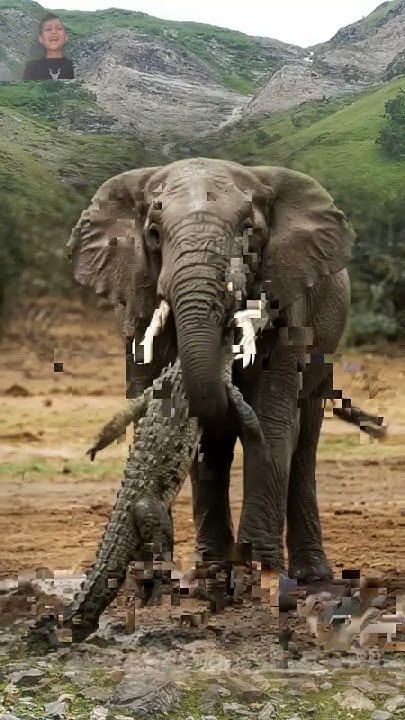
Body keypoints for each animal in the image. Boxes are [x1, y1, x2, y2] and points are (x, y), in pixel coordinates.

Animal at [66, 157, 358, 584]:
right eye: (153, 234)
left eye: (250, 231)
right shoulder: (136, 309)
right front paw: (146, 575)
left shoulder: (291, 309)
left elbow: (272, 422)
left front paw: (259, 570)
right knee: (216, 450)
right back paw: (212, 566)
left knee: (305, 441)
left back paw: (310, 576)